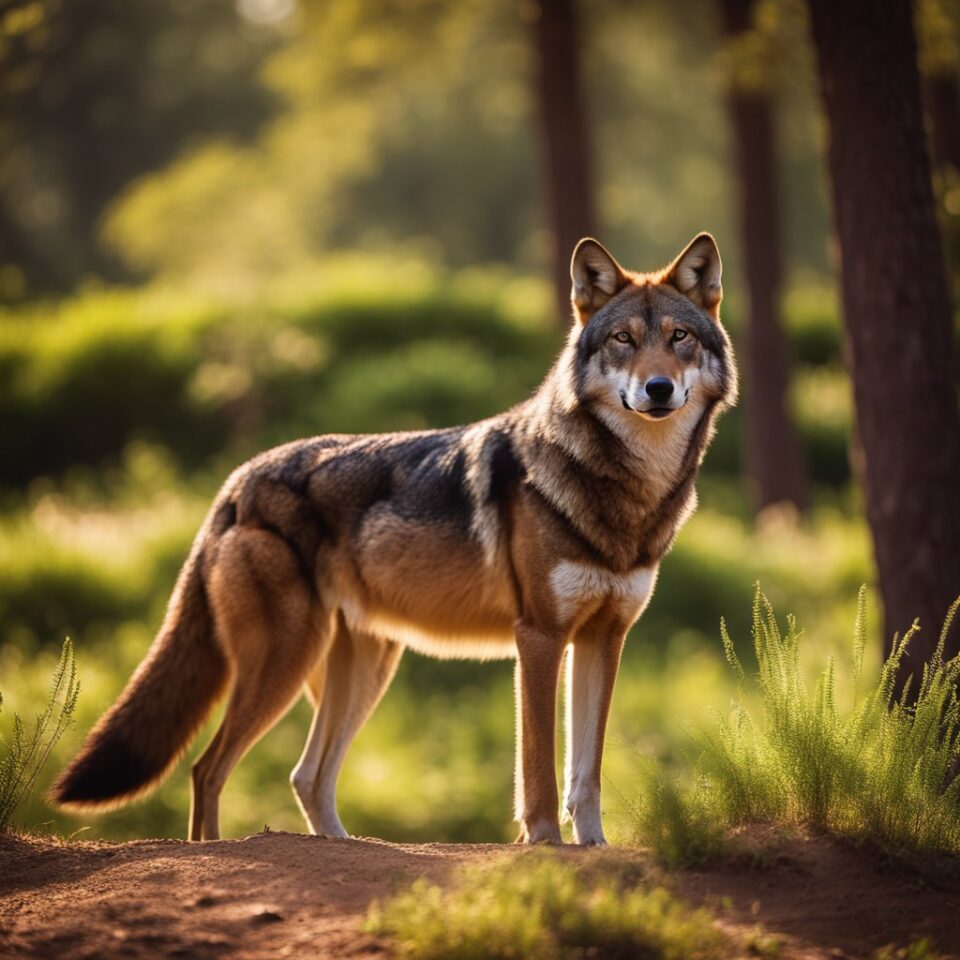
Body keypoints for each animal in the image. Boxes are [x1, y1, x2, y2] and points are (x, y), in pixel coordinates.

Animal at [50, 234, 737, 845]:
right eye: (624, 340)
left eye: (678, 338)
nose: (657, 389)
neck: (625, 493)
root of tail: (237, 481)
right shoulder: (539, 638)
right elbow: (540, 772)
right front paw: (544, 845)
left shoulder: (603, 639)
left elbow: (584, 773)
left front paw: (593, 847)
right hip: (284, 665)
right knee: (208, 768)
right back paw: (216, 850)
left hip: (362, 670)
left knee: (306, 777)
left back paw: (338, 846)